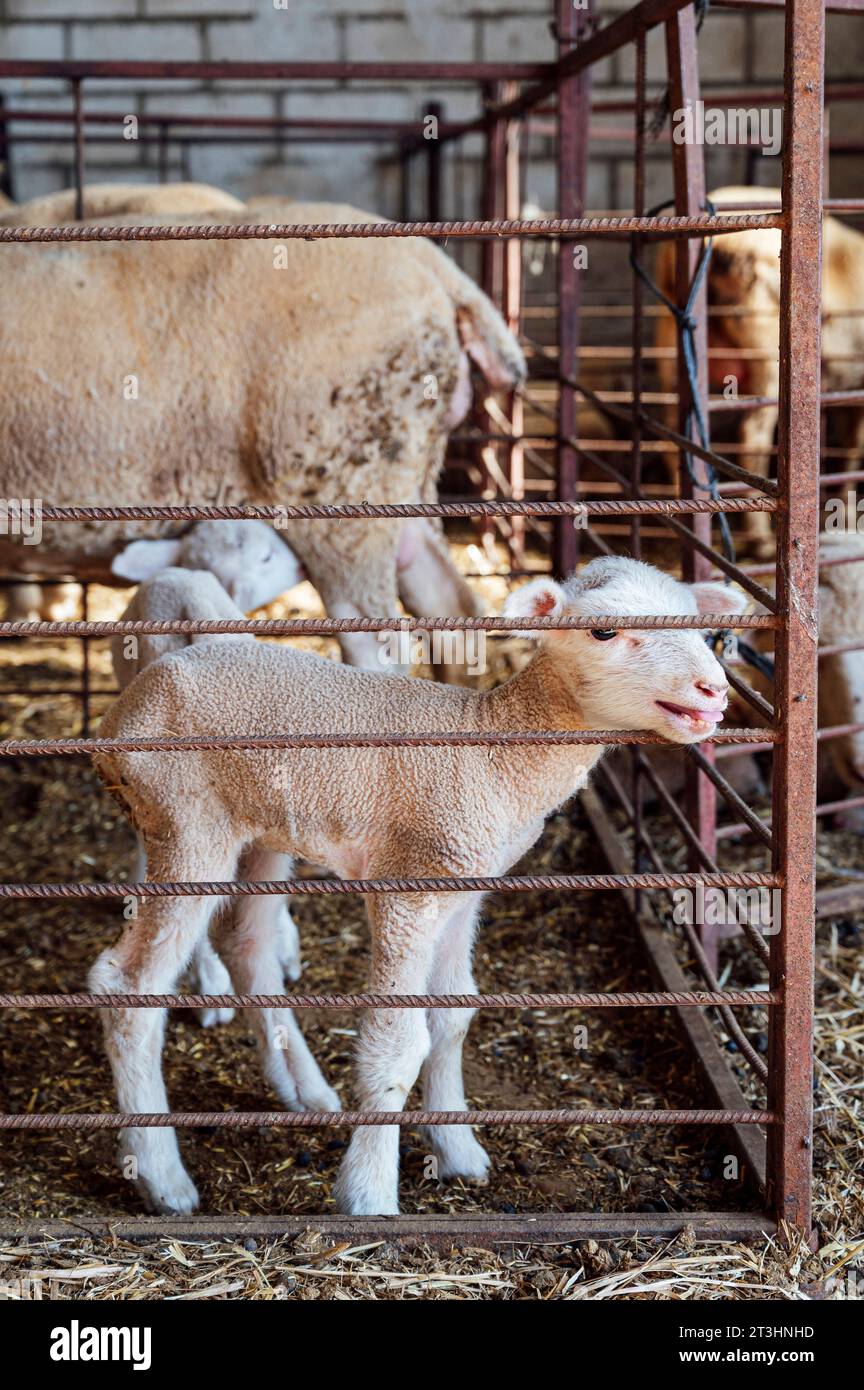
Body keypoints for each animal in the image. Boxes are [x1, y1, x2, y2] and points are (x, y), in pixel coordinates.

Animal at [88, 554, 745, 1216]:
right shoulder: (410, 883)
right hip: (186, 823)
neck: (496, 751)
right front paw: (369, 1192)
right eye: (602, 632)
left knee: (246, 947)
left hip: (260, 831)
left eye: (699, 626)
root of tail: (135, 698)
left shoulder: (464, 886)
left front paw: (457, 1150)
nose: (713, 689)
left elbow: (453, 1016)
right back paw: (162, 1178)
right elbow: (397, 1041)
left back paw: (304, 1092)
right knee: (128, 987)